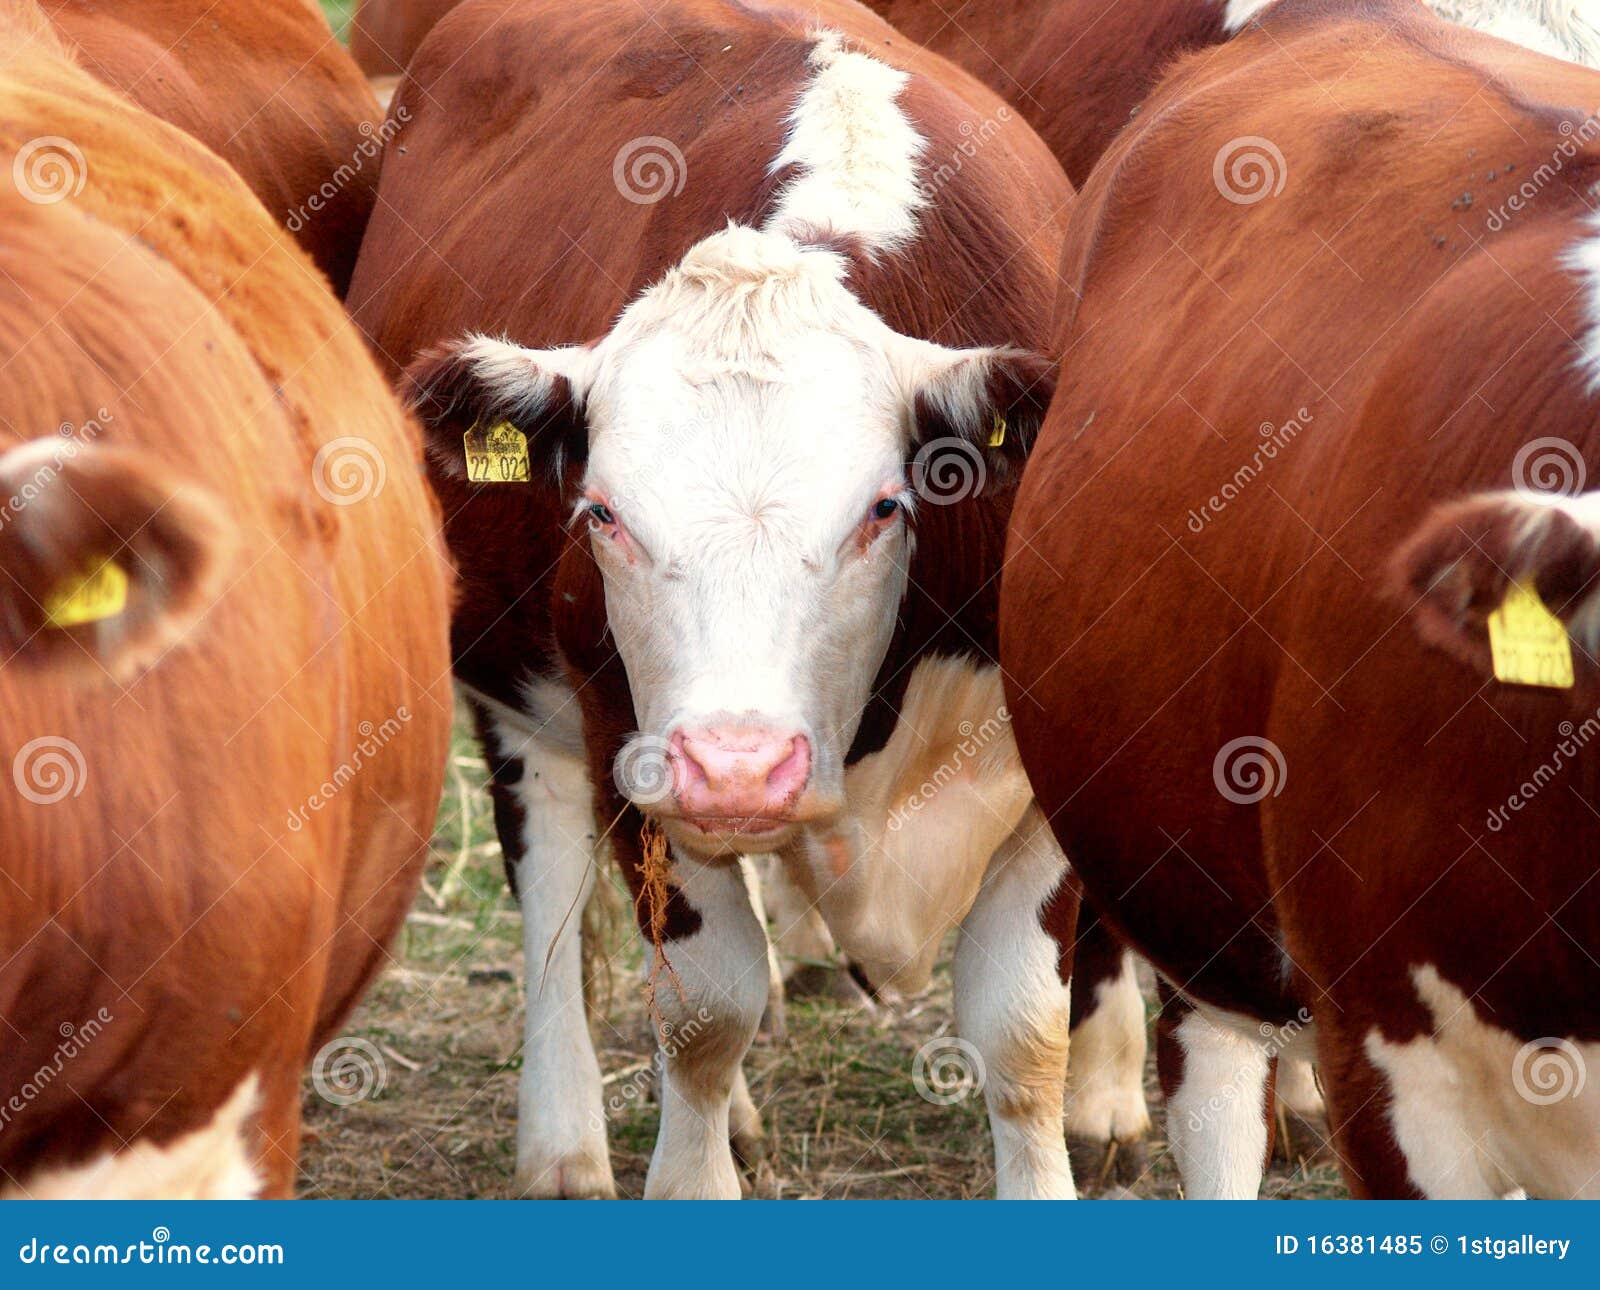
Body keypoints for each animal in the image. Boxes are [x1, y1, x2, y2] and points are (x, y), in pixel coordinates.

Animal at [348, 0, 1156, 1199]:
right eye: (602, 513)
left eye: (883, 507)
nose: (735, 767)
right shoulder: (627, 740)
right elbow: (706, 1011)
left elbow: (1019, 1032)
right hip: (516, 689)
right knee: (547, 877)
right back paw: (566, 1139)